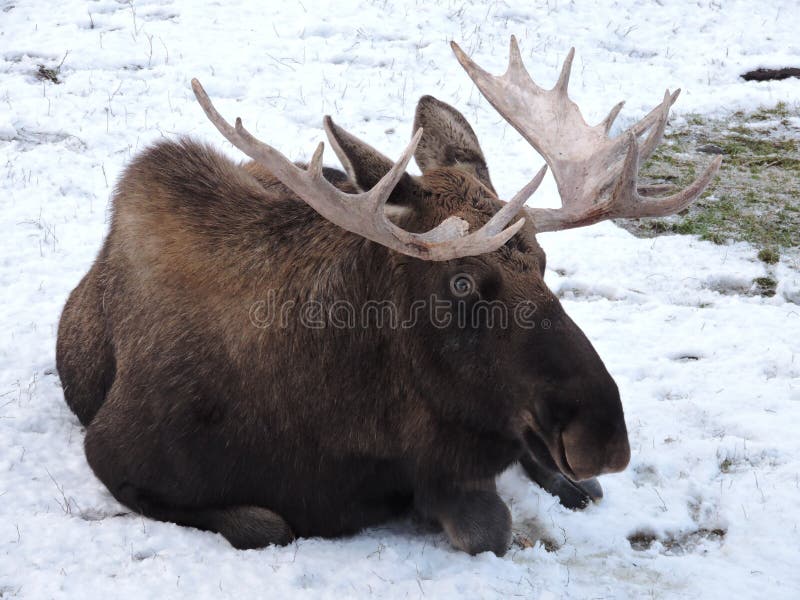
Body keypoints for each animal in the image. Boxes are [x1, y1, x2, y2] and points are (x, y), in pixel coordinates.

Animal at [56, 37, 721, 556]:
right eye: (460, 281)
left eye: (543, 261)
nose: (602, 436)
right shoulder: (115, 455)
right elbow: (266, 524)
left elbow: (488, 525)